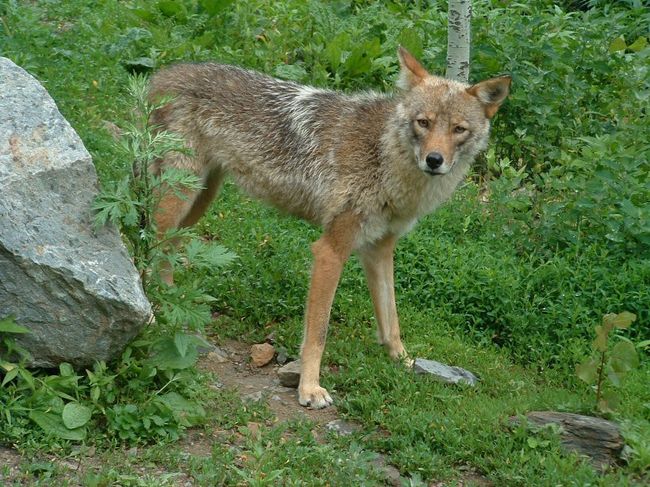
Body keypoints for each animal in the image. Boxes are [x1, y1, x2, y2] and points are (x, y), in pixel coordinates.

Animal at [148, 47, 510, 409]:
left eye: (458, 129)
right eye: (424, 122)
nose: (434, 160)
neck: (384, 156)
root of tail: (161, 75)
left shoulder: (380, 249)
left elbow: (391, 319)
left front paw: (404, 361)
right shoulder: (330, 250)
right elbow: (318, 333)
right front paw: (309, 388)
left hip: (198, 202)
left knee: (166, 253)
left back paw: (171, 305)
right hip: (179, 200)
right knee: (146, 246)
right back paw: (151, 315)